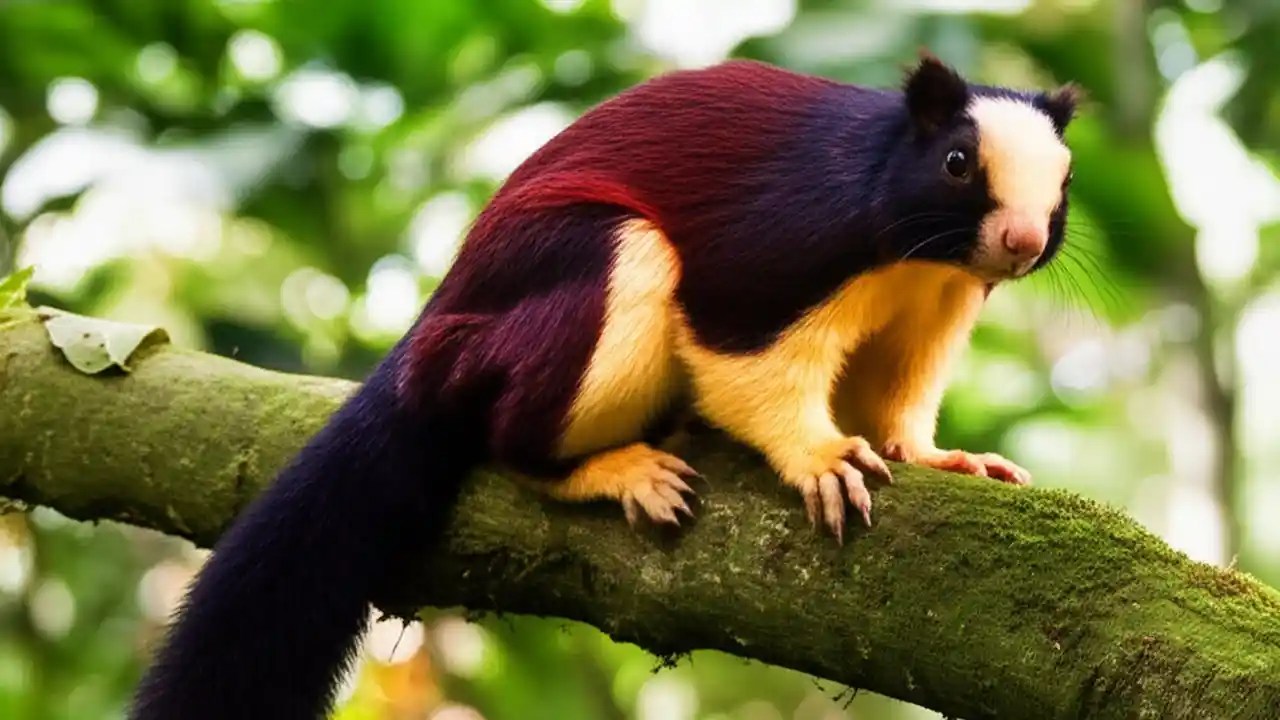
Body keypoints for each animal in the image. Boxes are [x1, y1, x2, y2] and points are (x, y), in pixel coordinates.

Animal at [129, 52, 1079, 719]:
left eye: (1065, 181)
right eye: (958, 162)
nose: (1025, 243)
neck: (916, 250)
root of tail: (427, 345)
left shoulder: (936, 304)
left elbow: (900, 401)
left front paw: (940, 456)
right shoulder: (779, 249)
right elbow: (744, 359)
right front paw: (819, 458)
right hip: (583, 276)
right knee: (514, 429)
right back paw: (615, 470)